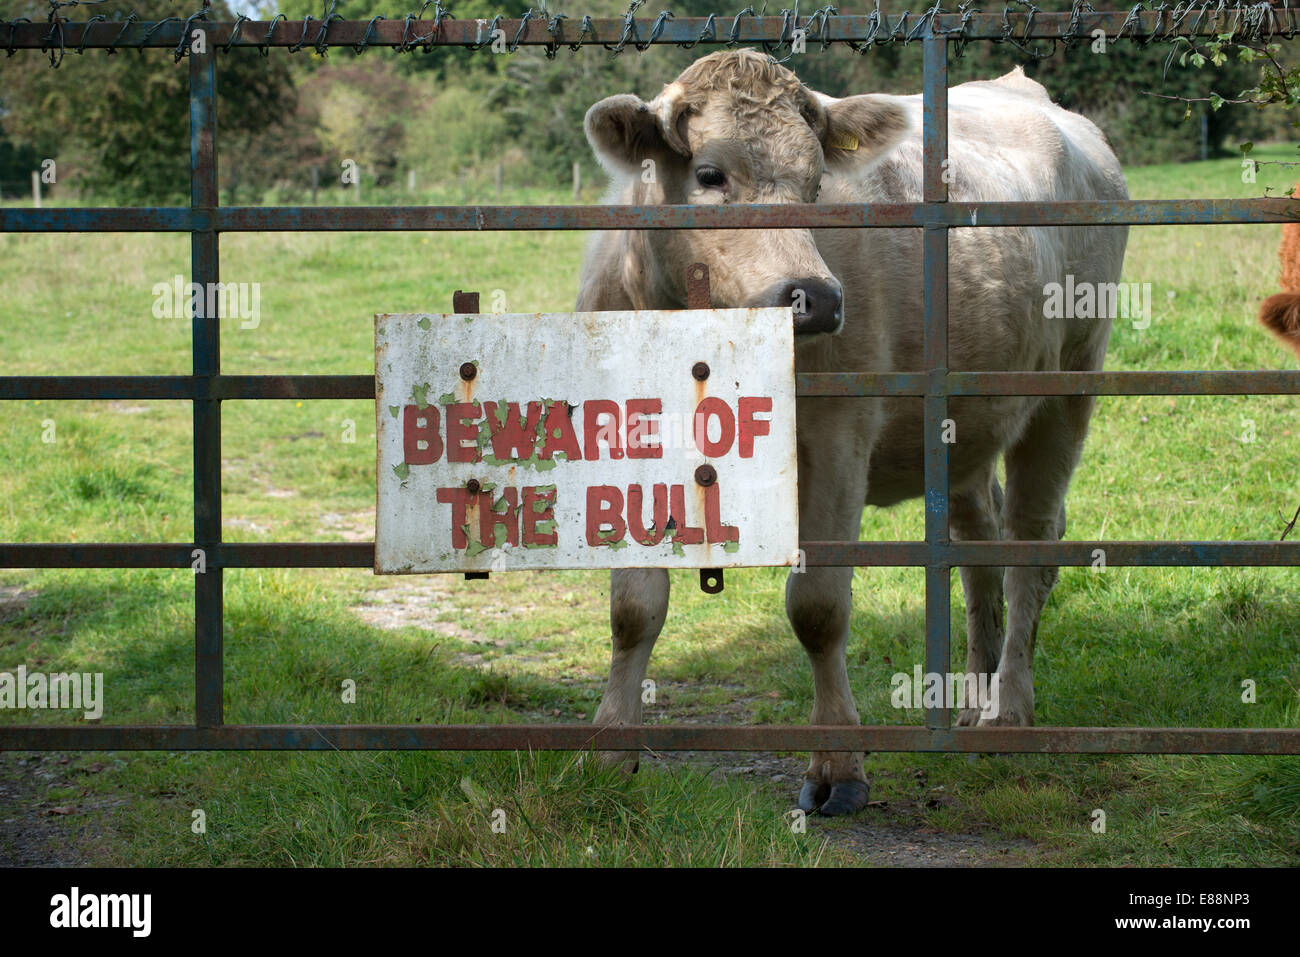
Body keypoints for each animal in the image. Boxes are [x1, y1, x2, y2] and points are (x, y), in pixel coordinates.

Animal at [575, 49, 1129, 816]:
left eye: (816, 183)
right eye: (711, 174)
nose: (816, 298)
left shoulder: (836, 440)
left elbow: (818, 608)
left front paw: (839, 765)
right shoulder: (627, 436)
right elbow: (633, 606)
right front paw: (610, 746)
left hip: (1067, 386)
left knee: (1031, 546)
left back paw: (1010, 709)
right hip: (962, 428)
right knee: (979, 544)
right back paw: (974, 698)